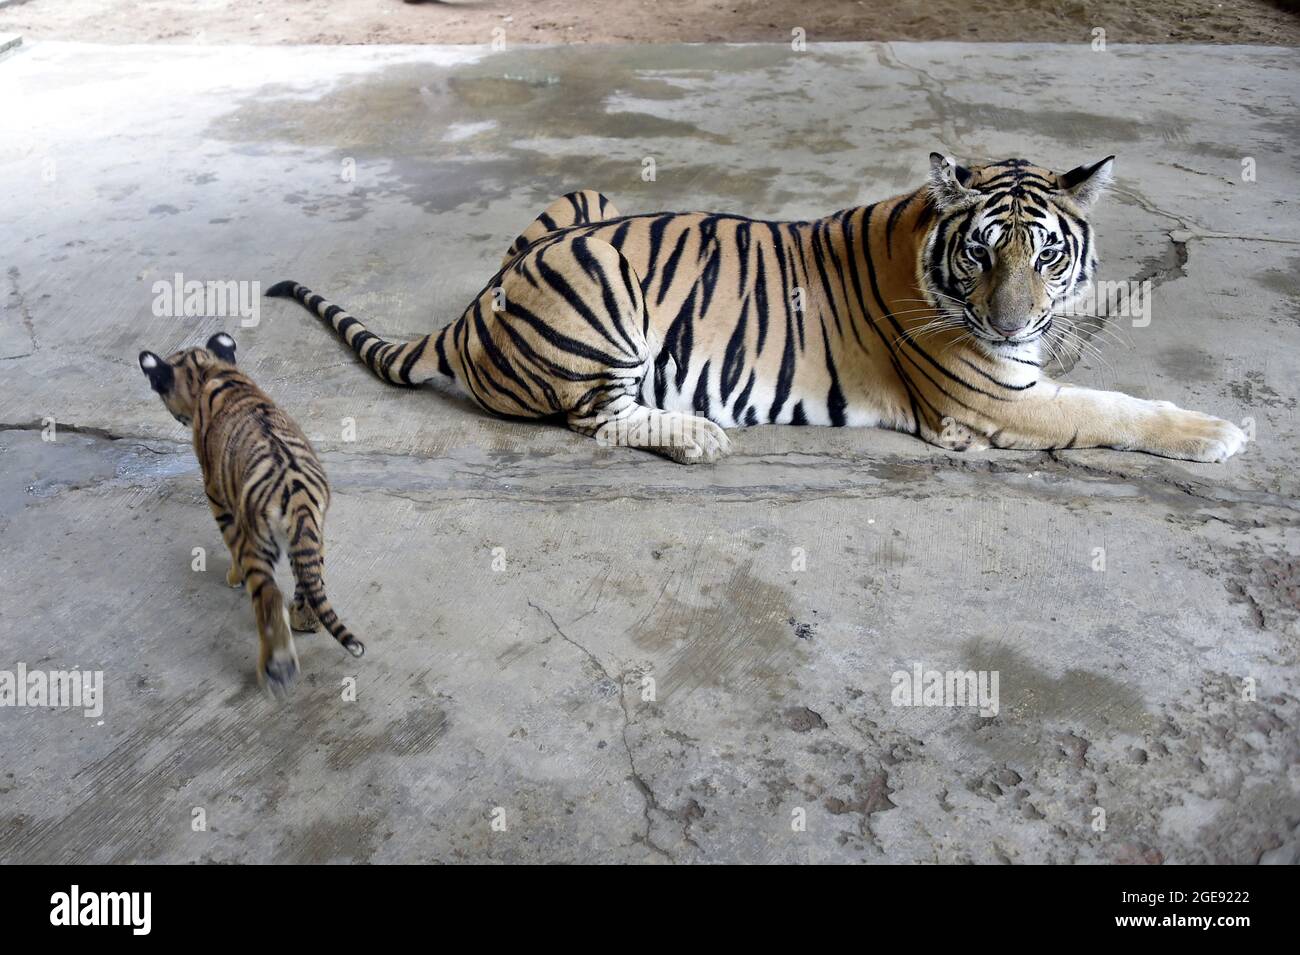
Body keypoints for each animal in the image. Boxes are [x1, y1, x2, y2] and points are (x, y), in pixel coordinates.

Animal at [137, 332, 364, 694]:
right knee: (310, 579)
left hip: (259, 541)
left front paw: (234, 576)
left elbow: (231, 543)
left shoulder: (216, 494)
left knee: (269, 596)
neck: (209, 369)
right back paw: (305, 621)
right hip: (312, 534)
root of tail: (298, 496)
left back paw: (277, 668)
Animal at [266, 154, 1246, 465]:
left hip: (587, 202)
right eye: (980, 252)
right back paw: (698, 437)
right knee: (595, 420)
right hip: (601, 275)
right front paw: (1221, 433)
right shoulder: (991, 400)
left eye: (1046, 254)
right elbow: (1113, 410)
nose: (1008, 325)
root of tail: (474, 308)